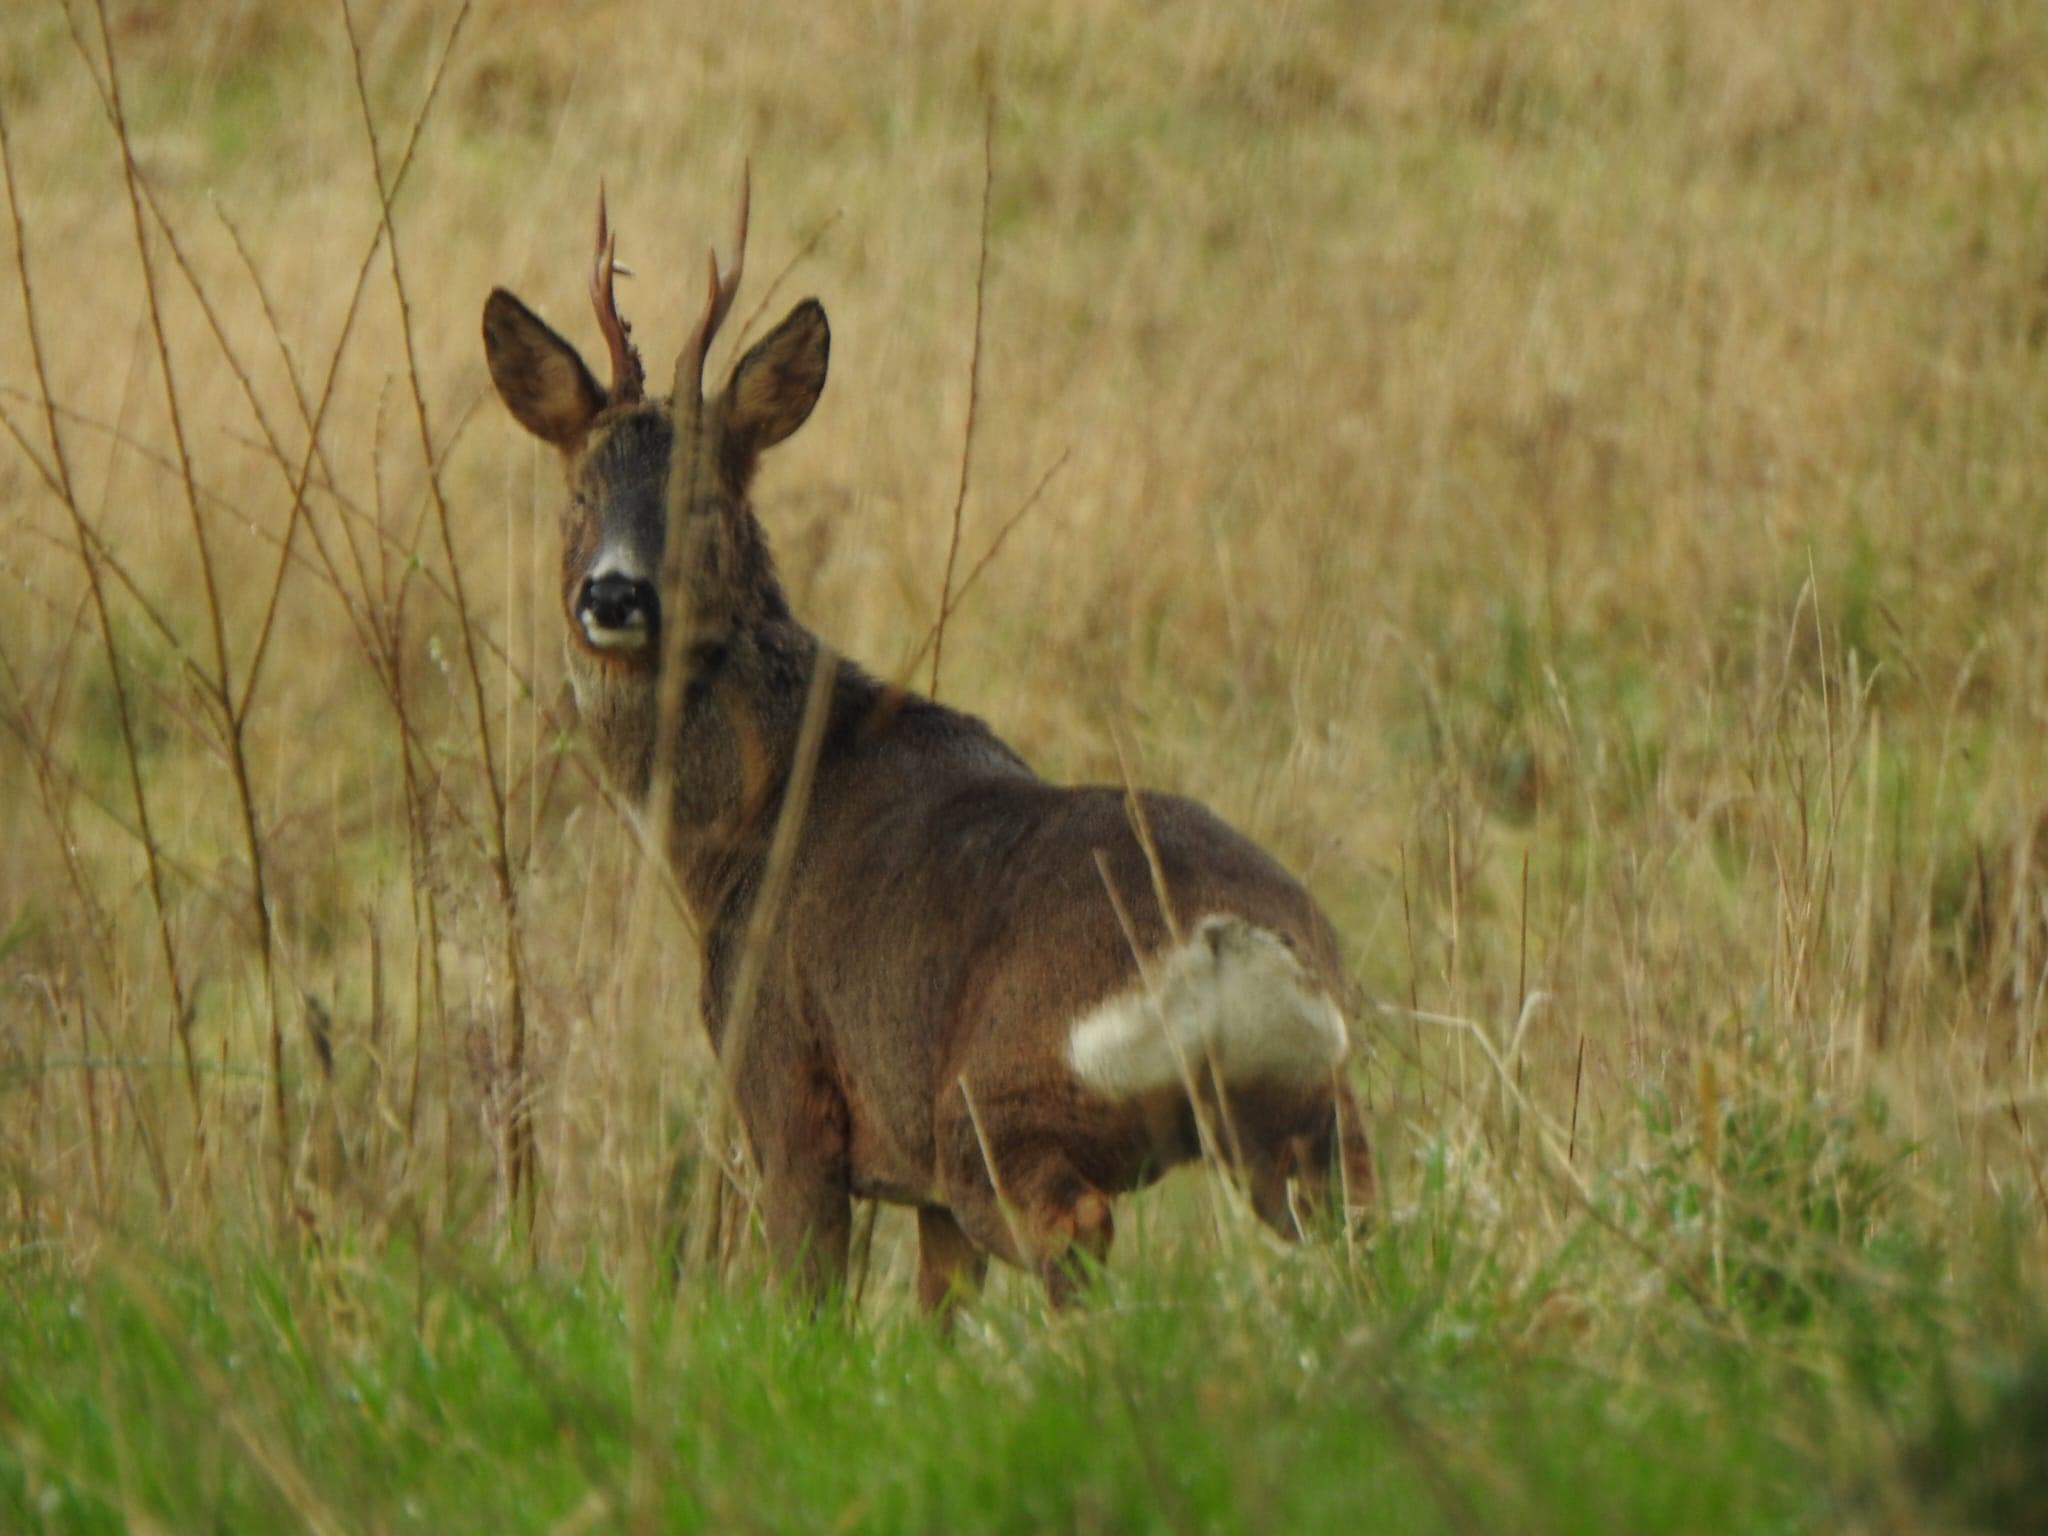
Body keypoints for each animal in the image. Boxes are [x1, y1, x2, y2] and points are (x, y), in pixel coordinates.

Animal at [481, 173, 1374, 1312]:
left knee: (1075, 1230)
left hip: (996, 1109)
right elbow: (937, 1312)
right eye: (580, 491)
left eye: (708, 501)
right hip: (1309, 1114)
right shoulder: (919, 1189)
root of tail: (1225, 947)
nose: (613, 594)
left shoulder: (787, 1093)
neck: (744, 823)